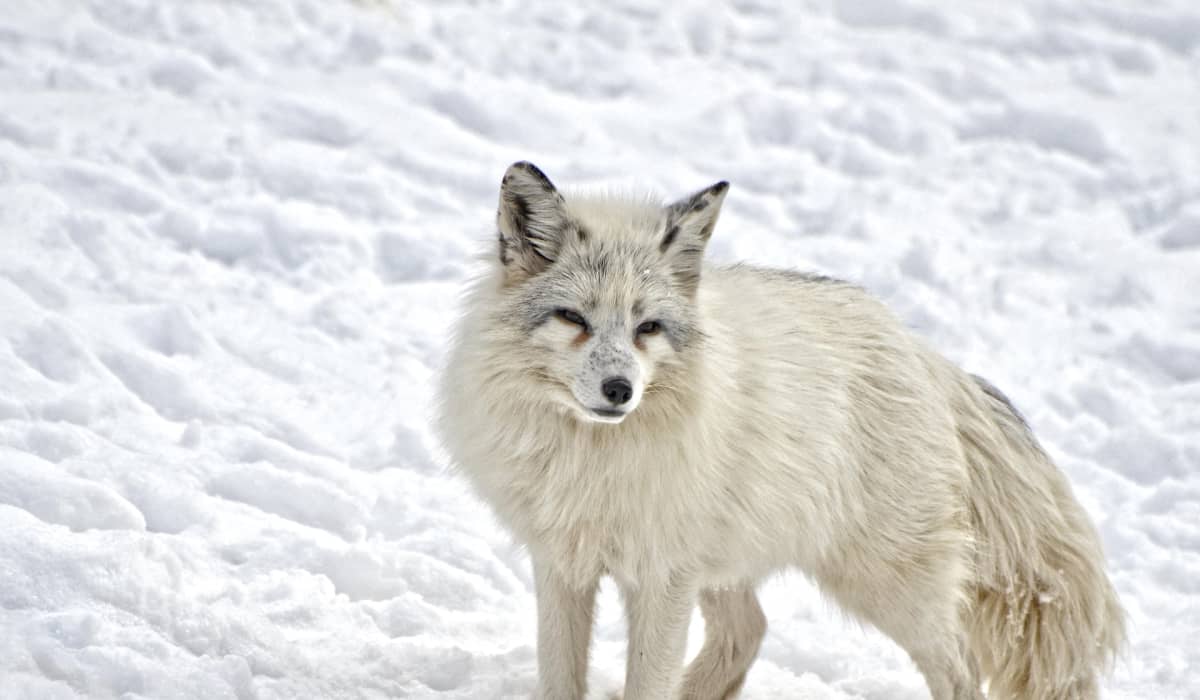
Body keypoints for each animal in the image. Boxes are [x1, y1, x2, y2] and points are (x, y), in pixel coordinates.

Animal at [436, 161, 1125, 700]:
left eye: (647, 327)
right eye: (573, 319)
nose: (619, 390)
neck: (591, 459)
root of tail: (924, 355)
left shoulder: (660, 579)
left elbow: (647, 684)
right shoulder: (563, 564)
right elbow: (561, 678)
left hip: (885, 586)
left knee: (958, 674)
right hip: (729, 565)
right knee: (749, 633)